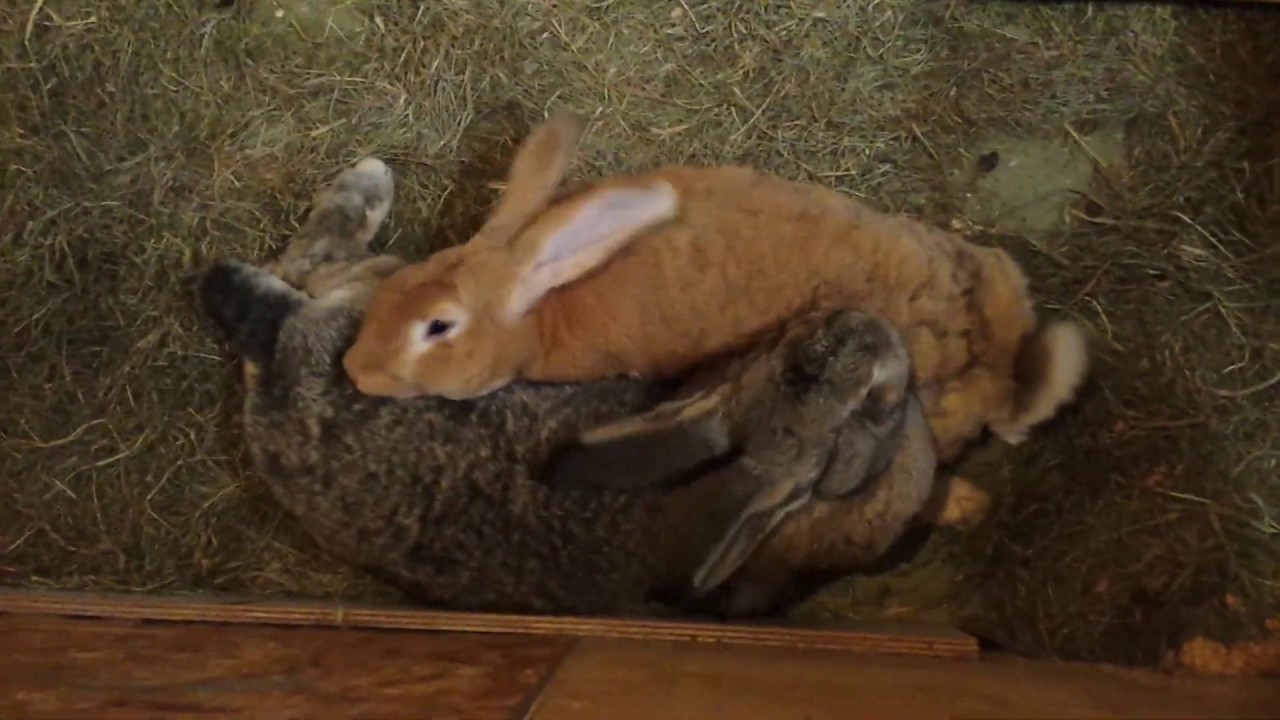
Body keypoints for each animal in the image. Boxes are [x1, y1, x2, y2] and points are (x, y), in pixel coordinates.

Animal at [198, 156, 949, 617]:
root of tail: (283, 352)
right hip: (378, 293)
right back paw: (364, 187)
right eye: (801, 365)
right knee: (313, 261)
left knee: (311, 266)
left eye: (871, 408)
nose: (868, 331)